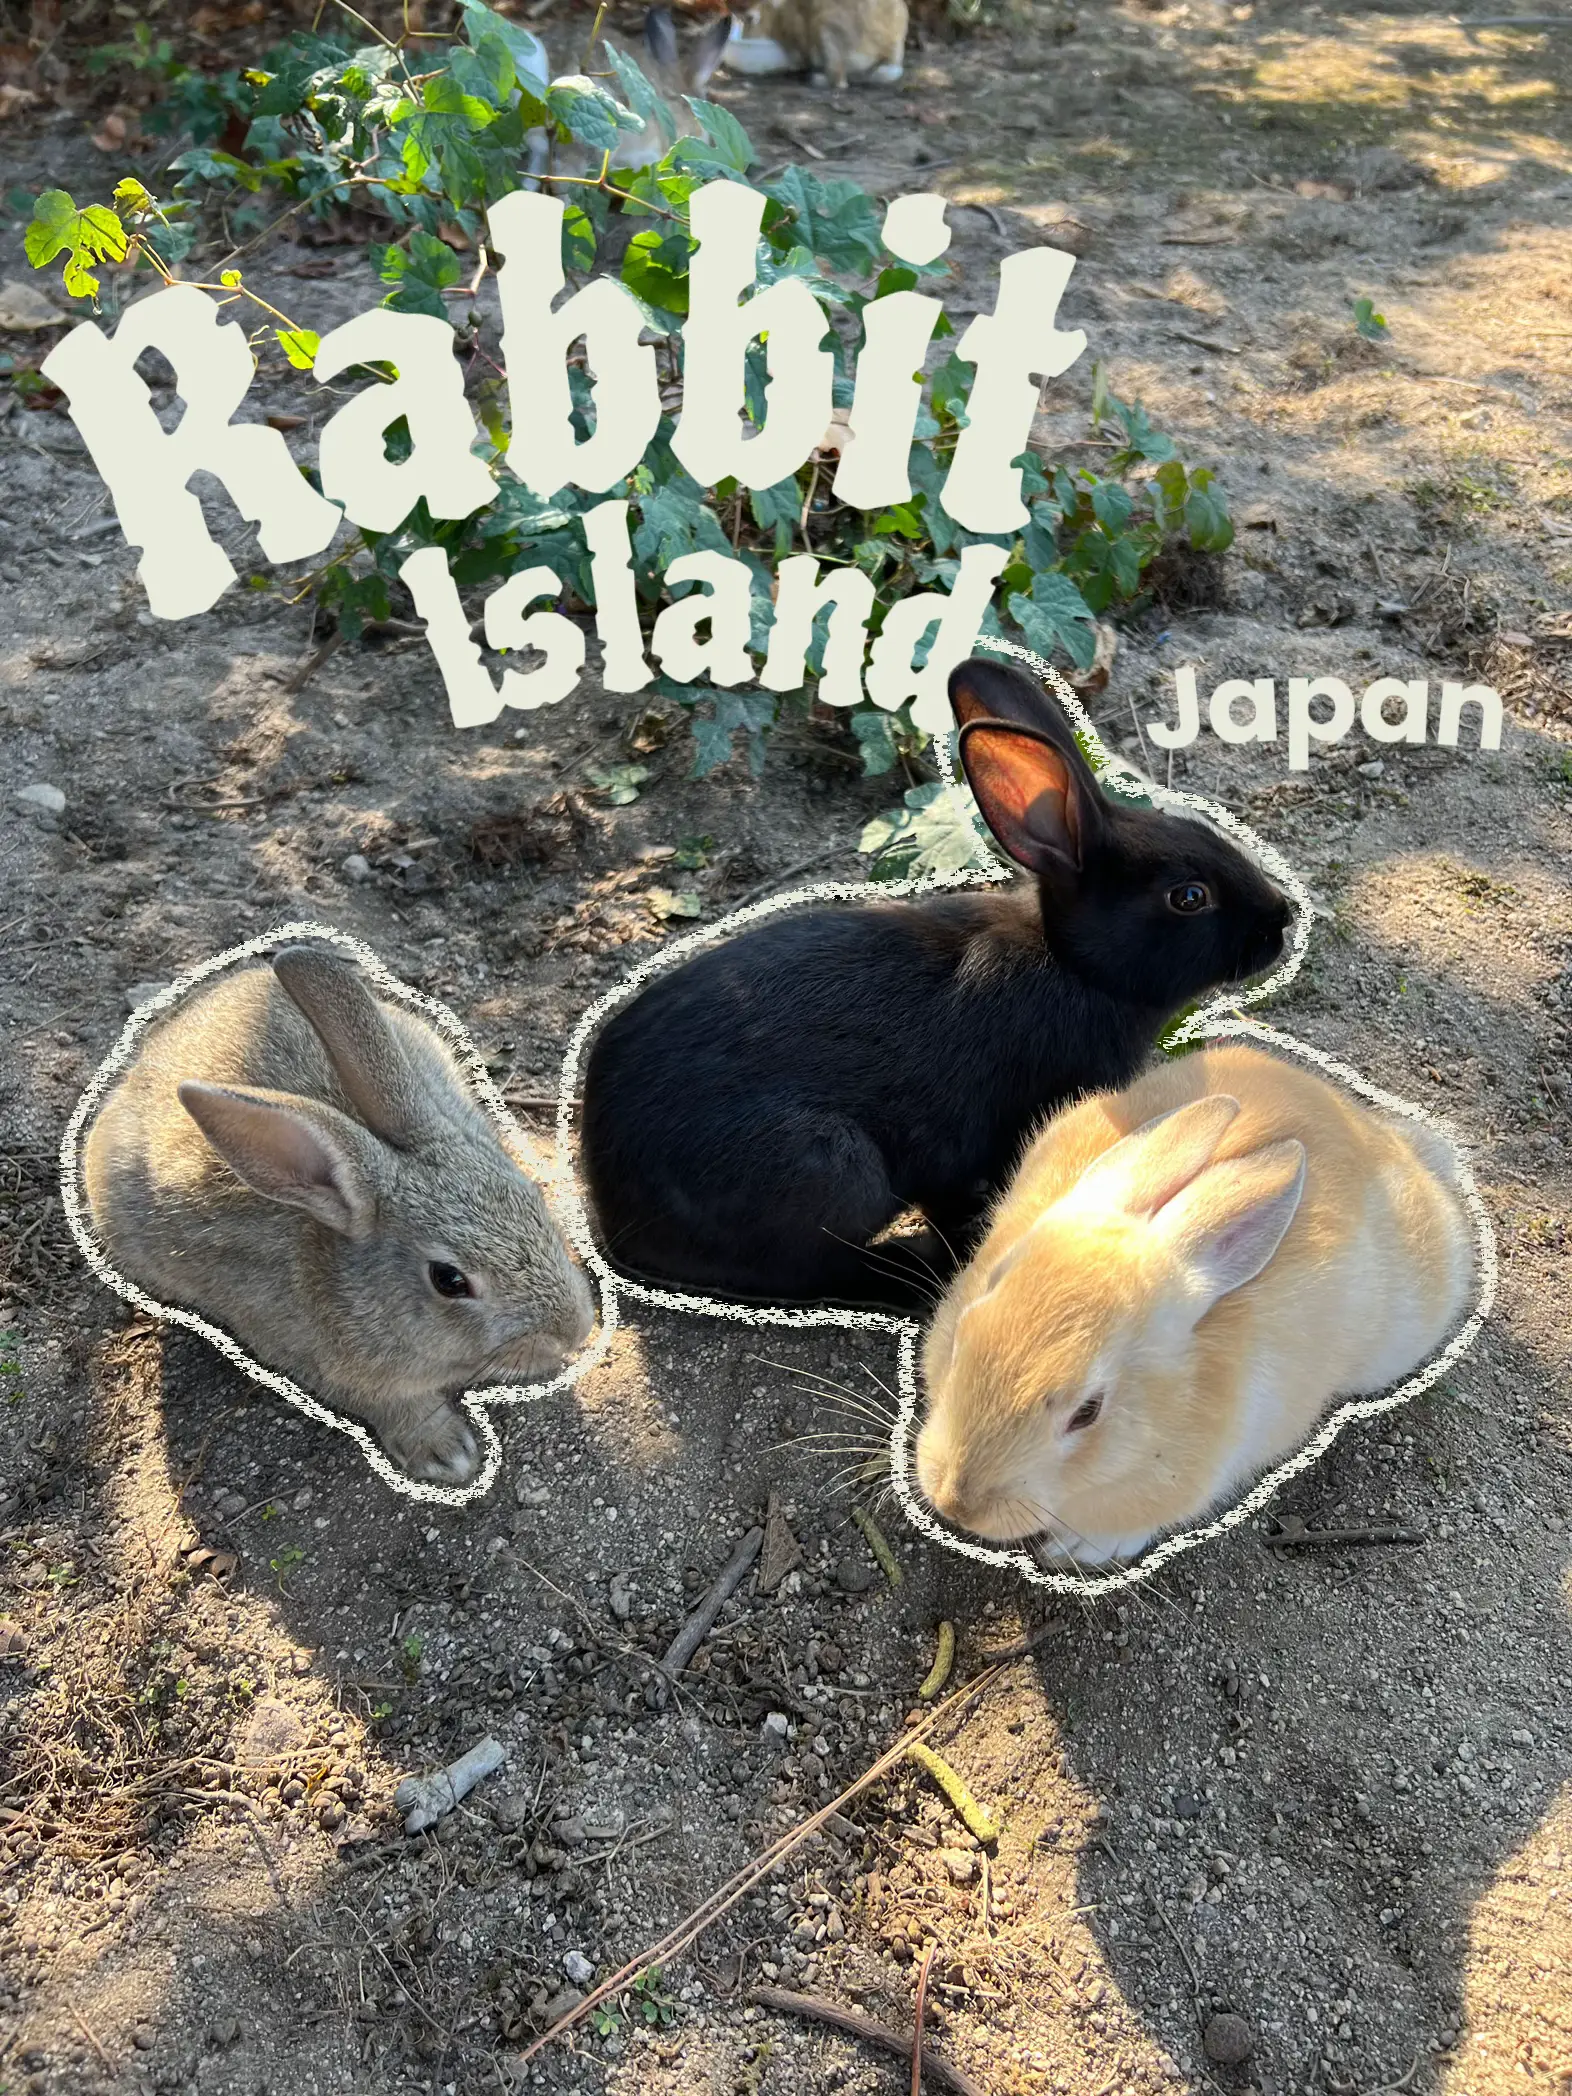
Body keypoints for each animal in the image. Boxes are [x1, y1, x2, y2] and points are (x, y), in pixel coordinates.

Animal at [82, 944, 596, 1487]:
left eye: (534, 1197)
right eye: (449, 1280)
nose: (576, 1330)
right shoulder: (326, 1367)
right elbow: (396, 1407)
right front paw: (445, 1453)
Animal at [579, 654, 1293, 1311]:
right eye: (1189, 897)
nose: (1281, 920)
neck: (1073, 964)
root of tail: (611, 1209)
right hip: (833, 1169)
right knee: (809, 1269)